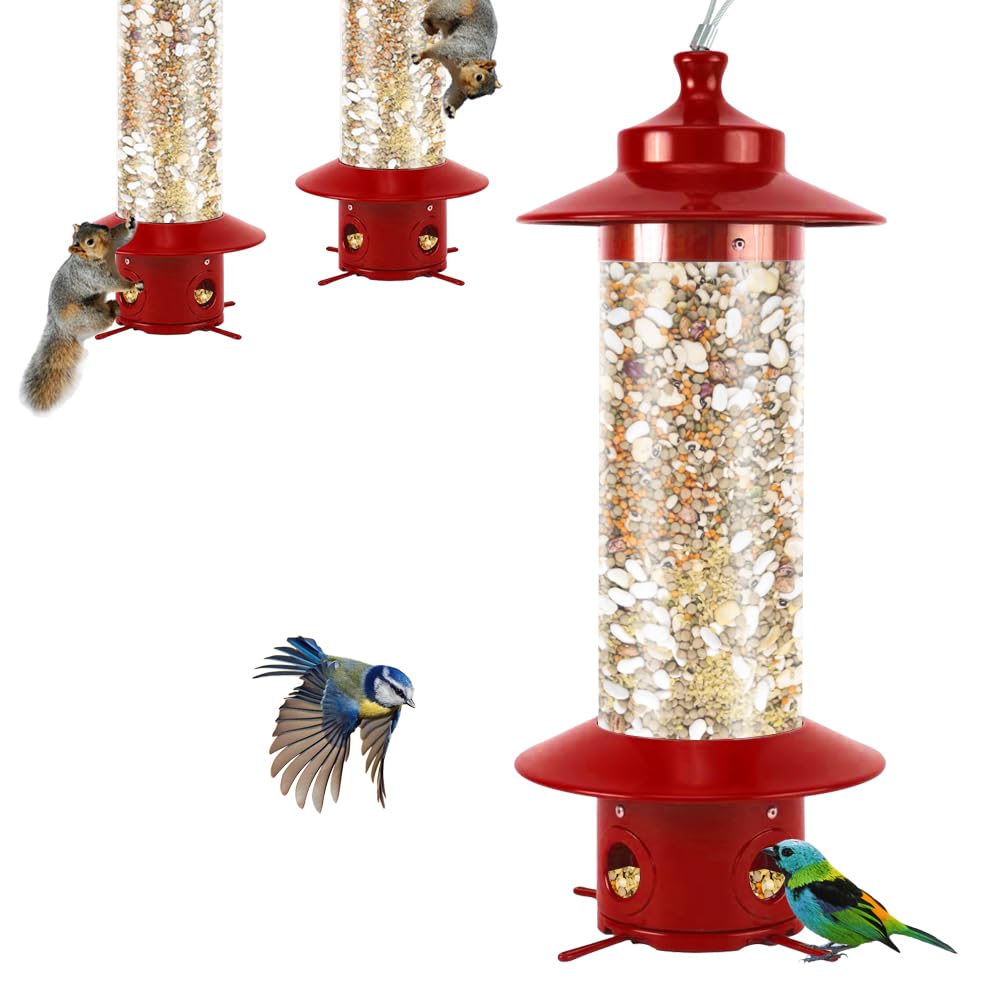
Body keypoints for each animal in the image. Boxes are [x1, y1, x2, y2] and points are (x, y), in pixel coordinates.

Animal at [21, 218, 141, 412]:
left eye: (89, 223)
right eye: (89, 242)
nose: (105, 228)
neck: (98, 257)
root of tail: (60, 327)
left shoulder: (114, 242)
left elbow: (121, 236)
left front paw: (129, 223)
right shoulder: (95, 277)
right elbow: (115, 284)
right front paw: (133, 285)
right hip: (86, 316)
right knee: (104, 320)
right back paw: (113, 309)